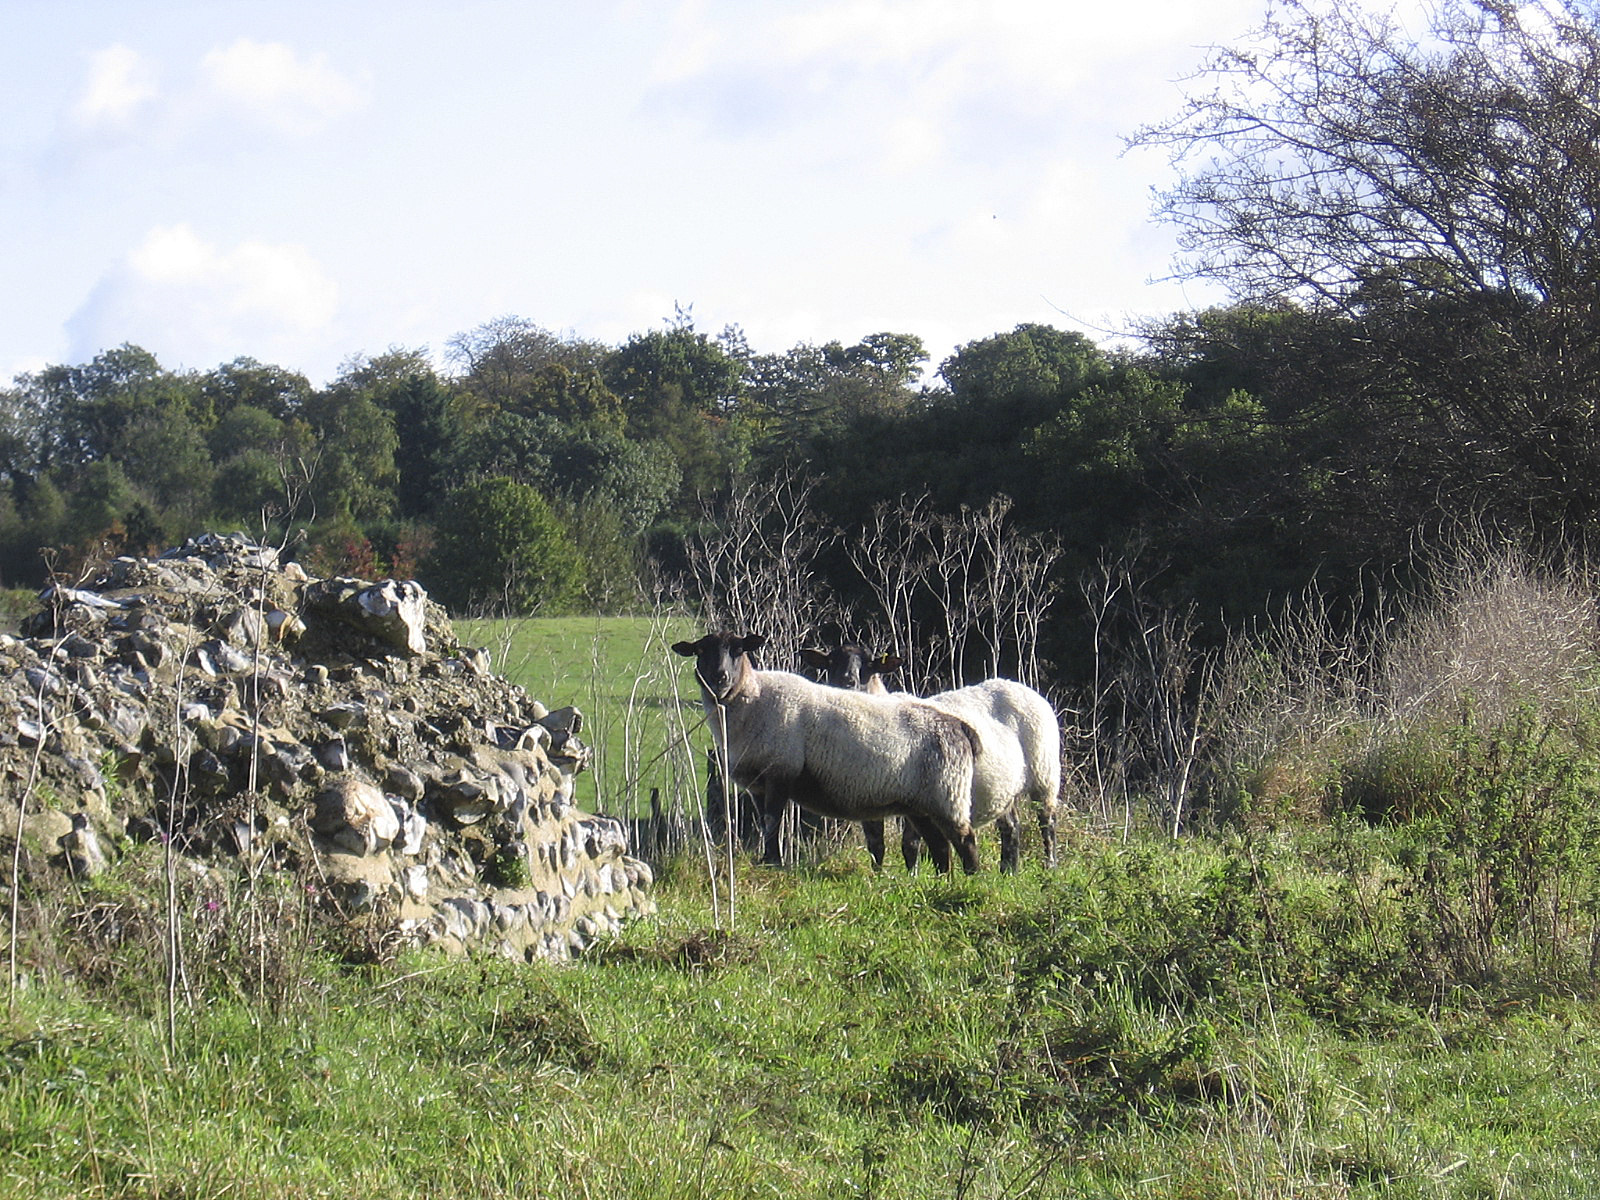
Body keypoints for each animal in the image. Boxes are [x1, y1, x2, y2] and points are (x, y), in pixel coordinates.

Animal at [673, 631, 982, 874]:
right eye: (700, 651)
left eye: (738, 650)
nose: (719, 678)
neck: (755, 698)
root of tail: (961, 727)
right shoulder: (757, 783)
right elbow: (764, 823)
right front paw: (767, 859)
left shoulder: (780, 771)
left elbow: (773, 821)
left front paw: (773, 862)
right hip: (921, 803)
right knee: (939, 845)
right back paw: (944, 880)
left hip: (947, 793)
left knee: (964, 839)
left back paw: (970, 879)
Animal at [807, 643, 1062, 870]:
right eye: (830, 662)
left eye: (870, 665)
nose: (847, 681)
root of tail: (1018, 685)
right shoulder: (866, 793)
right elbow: (876, 845)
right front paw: (877, 878)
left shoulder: (917, 792)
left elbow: (910, 844)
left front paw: (912, 877)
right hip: (1002, 786)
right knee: (1011, 827)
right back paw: (1008, 871)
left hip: (1044, 772)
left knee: (1046, 822)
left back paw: (1049, 867)